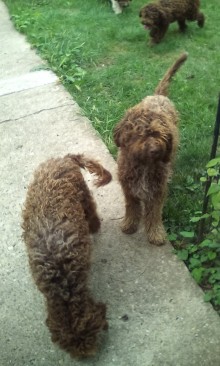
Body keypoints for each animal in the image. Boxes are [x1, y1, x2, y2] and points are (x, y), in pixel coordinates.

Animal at [113, 51, 187, 246]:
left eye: (158, 133)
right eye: (139, 133)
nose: (155, 150)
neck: (144, 165)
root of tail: (158, 96)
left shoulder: (157, 191)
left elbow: (154, 214)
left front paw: (155, 233)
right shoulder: (129, 189)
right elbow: (132, 208)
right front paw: (130, 225)